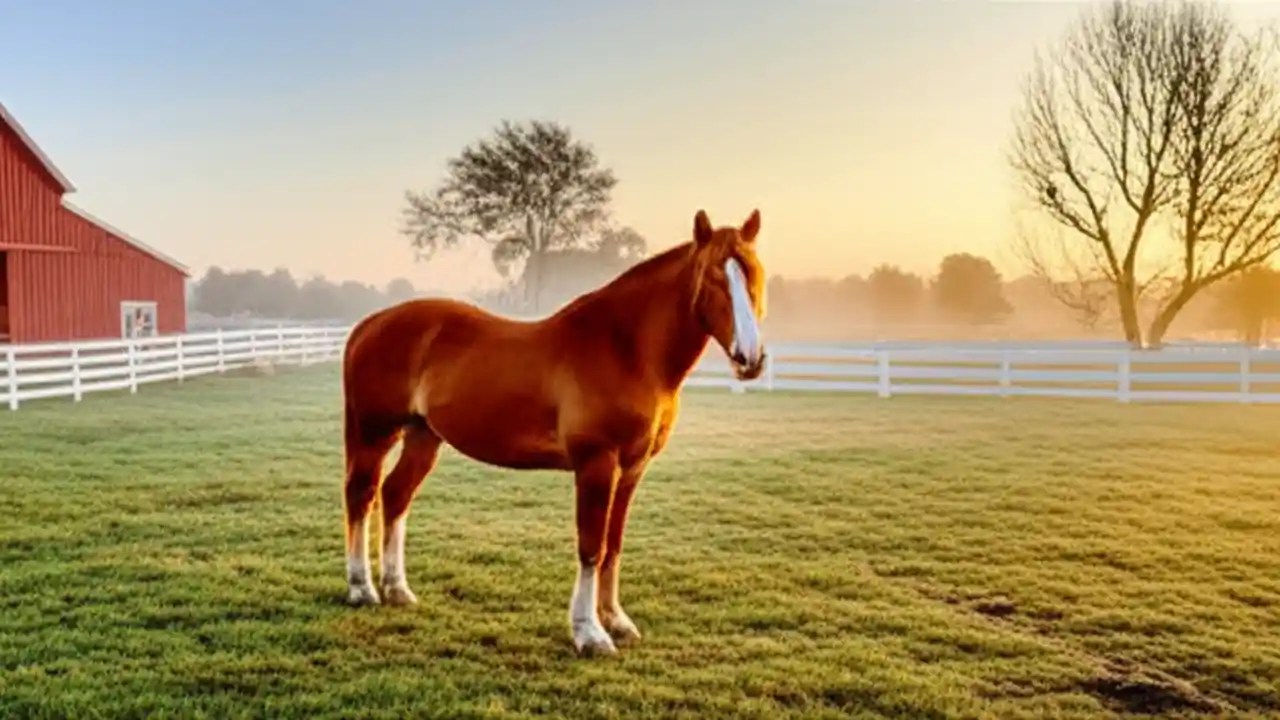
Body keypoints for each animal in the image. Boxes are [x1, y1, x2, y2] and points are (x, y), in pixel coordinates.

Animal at [340, 208, 768, 656]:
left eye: (754, 272)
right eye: (713, 277)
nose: (750, 359)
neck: (627, 350)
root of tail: (369, 325)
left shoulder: (632, 468)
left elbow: (614, 543)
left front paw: (616, 621)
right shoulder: (597, 463)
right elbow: (592, 545)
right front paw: (589, 633)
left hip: (423, 436)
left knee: (395, 494)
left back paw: (397, 589)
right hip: (374, 434)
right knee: (361, 495)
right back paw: (362, 589)